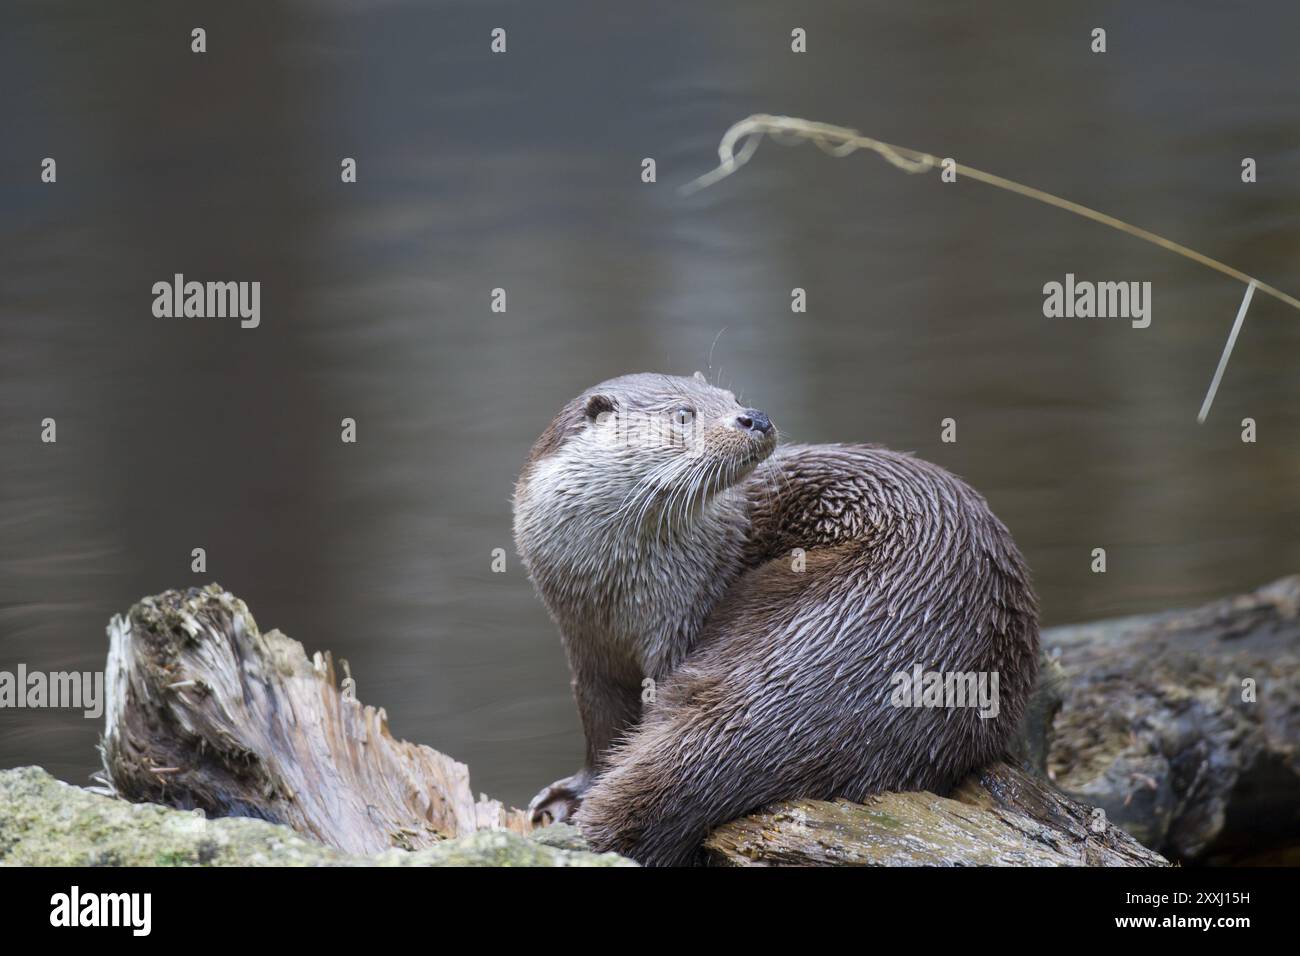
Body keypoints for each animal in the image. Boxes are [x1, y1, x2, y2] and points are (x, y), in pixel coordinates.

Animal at [513, 372, 1038, 866]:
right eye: (683, 414)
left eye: (732, 397)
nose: (755, 417)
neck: (615, 595)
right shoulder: (585, 650)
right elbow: (600, 731)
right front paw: (567, 796)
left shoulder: (682, 624)